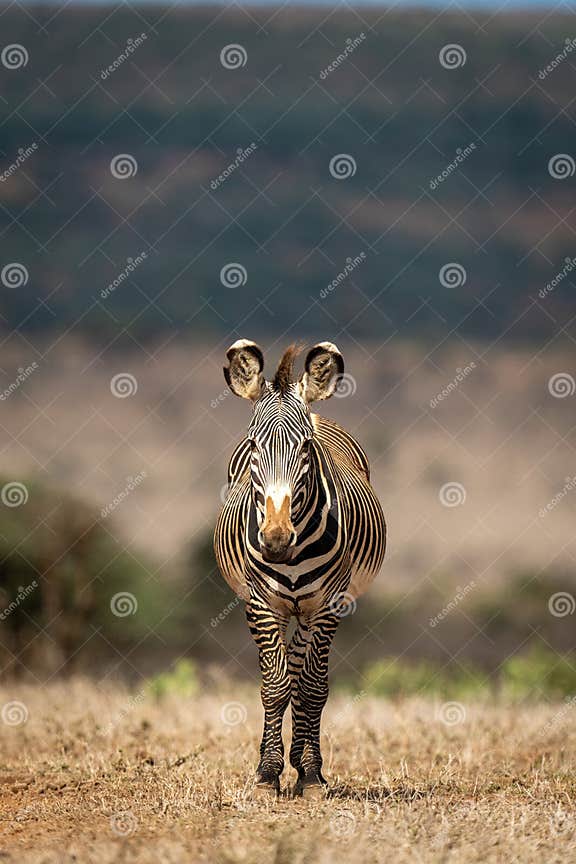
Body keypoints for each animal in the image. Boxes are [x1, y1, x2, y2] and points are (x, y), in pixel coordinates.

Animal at [214, 339, 386, 797]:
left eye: (306, 448)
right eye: (254, 447)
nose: (275, 540)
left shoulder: (327, 606)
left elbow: (311, 687)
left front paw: (309, 773)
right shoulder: (260, 604)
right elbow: (275, 687)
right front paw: (267, 773)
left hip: (310, 611)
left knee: (303, 674)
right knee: (282, 673)